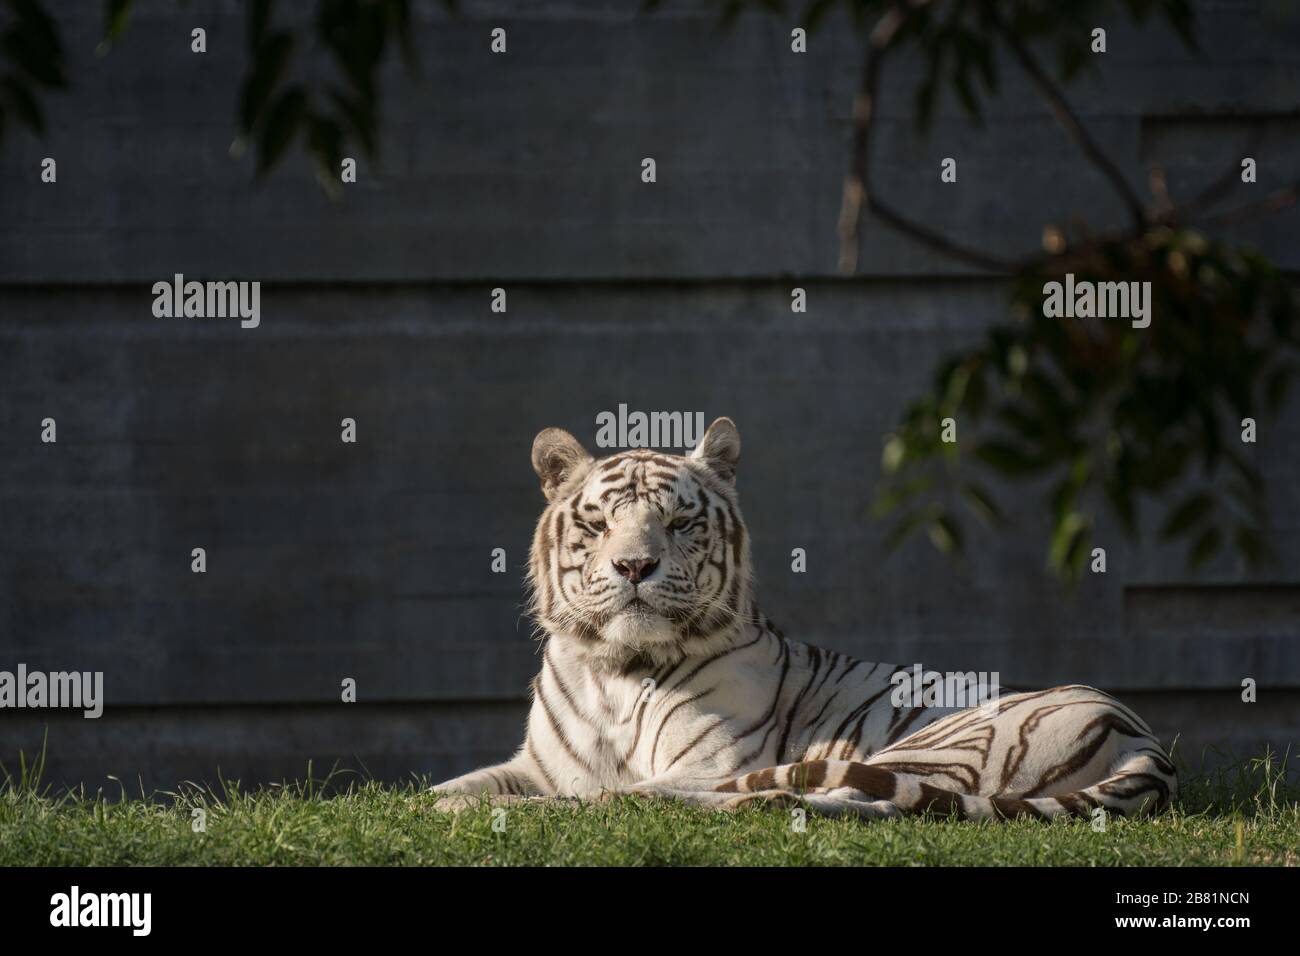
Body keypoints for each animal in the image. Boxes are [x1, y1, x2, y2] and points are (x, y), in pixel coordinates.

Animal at [431, 417, 1177, 821]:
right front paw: (437, 800)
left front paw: (491, 808)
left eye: (678, 523)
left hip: (937, 744)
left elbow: (613, 792)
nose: (634, 566)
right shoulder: (538, 765)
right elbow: (452, 784)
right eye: (598, 524)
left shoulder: (707, 760)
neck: (615, 671)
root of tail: (1141, 736)